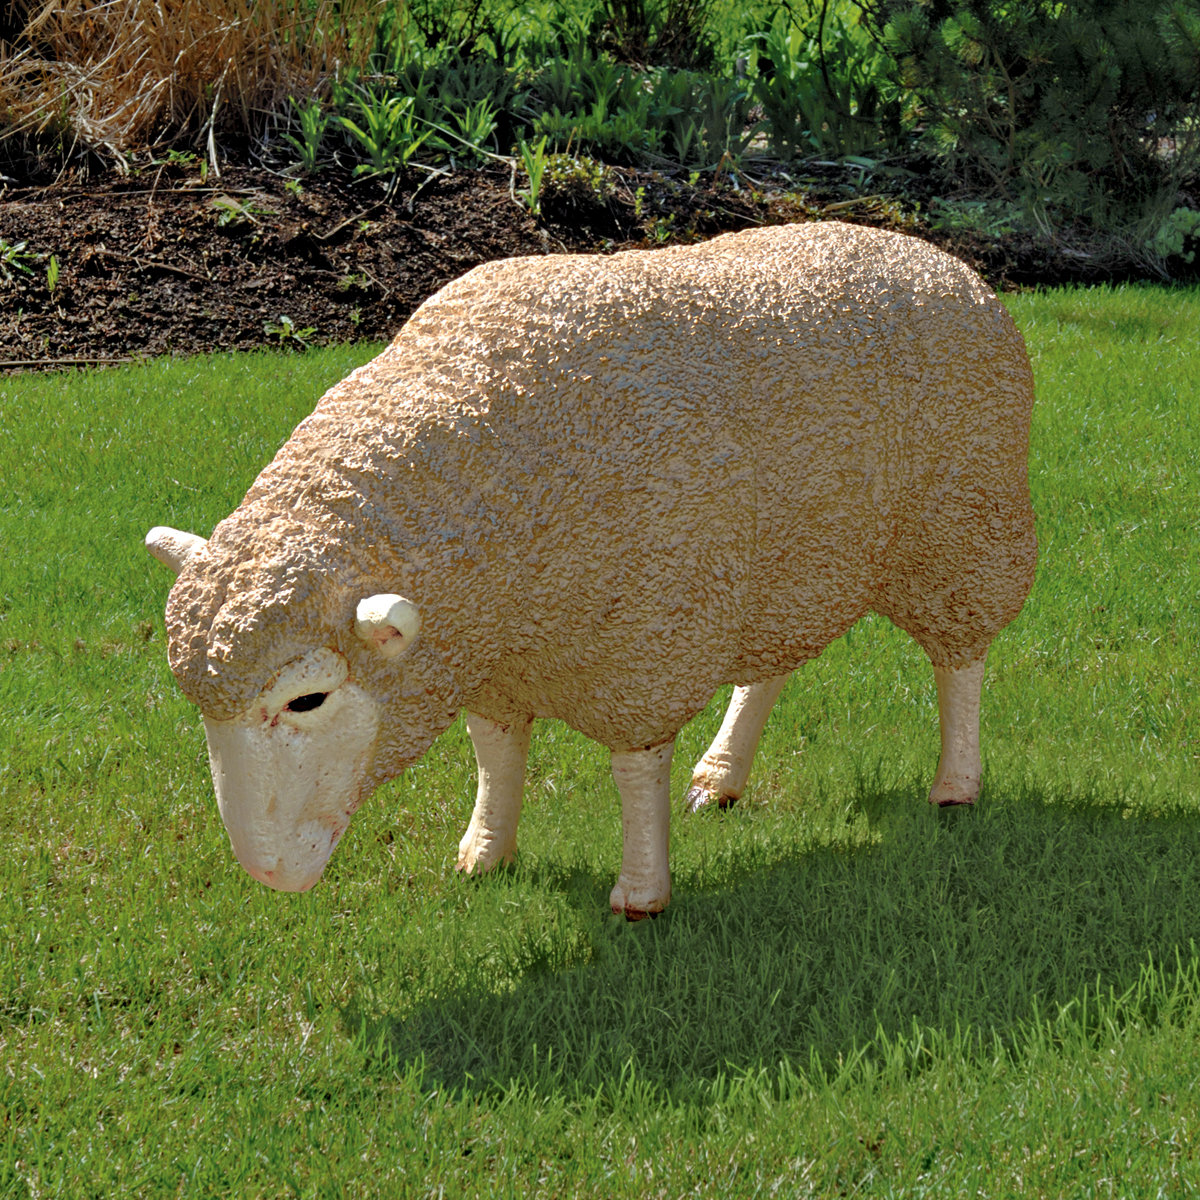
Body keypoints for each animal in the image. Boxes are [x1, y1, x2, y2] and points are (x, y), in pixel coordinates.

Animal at [146, 220, 1037, 917]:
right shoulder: (492, 654)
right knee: (770, 669)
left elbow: (633, 772)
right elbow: (496, 754)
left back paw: (956, 783)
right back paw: (723, 774)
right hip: (789, 561)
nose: (265, 872)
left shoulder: (645, 640)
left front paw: (641, 892)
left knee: (962, 664)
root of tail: (946, 263)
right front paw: (485, 850)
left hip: (966, 531)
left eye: (308, 699)